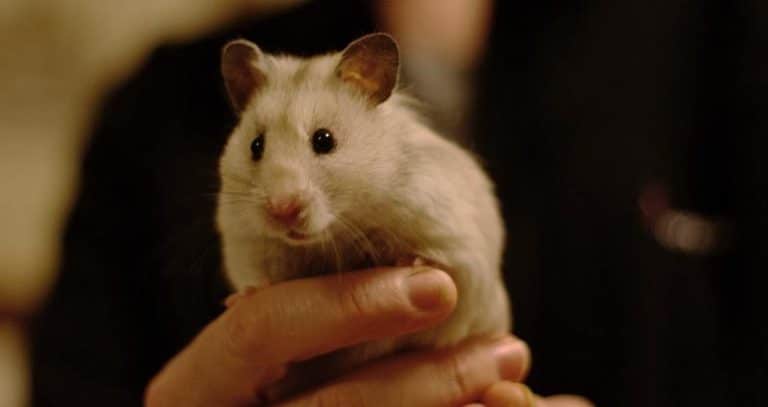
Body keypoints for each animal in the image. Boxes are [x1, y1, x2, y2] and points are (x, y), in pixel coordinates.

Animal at [216, 33, 510, 397]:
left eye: (324, 140)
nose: (282, 209)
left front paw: (411, 264)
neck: (339, 230)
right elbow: (258, 277)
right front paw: (242, 298)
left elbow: (445, 272)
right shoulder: (246, 244)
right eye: (256, 146)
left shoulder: (458, 246)